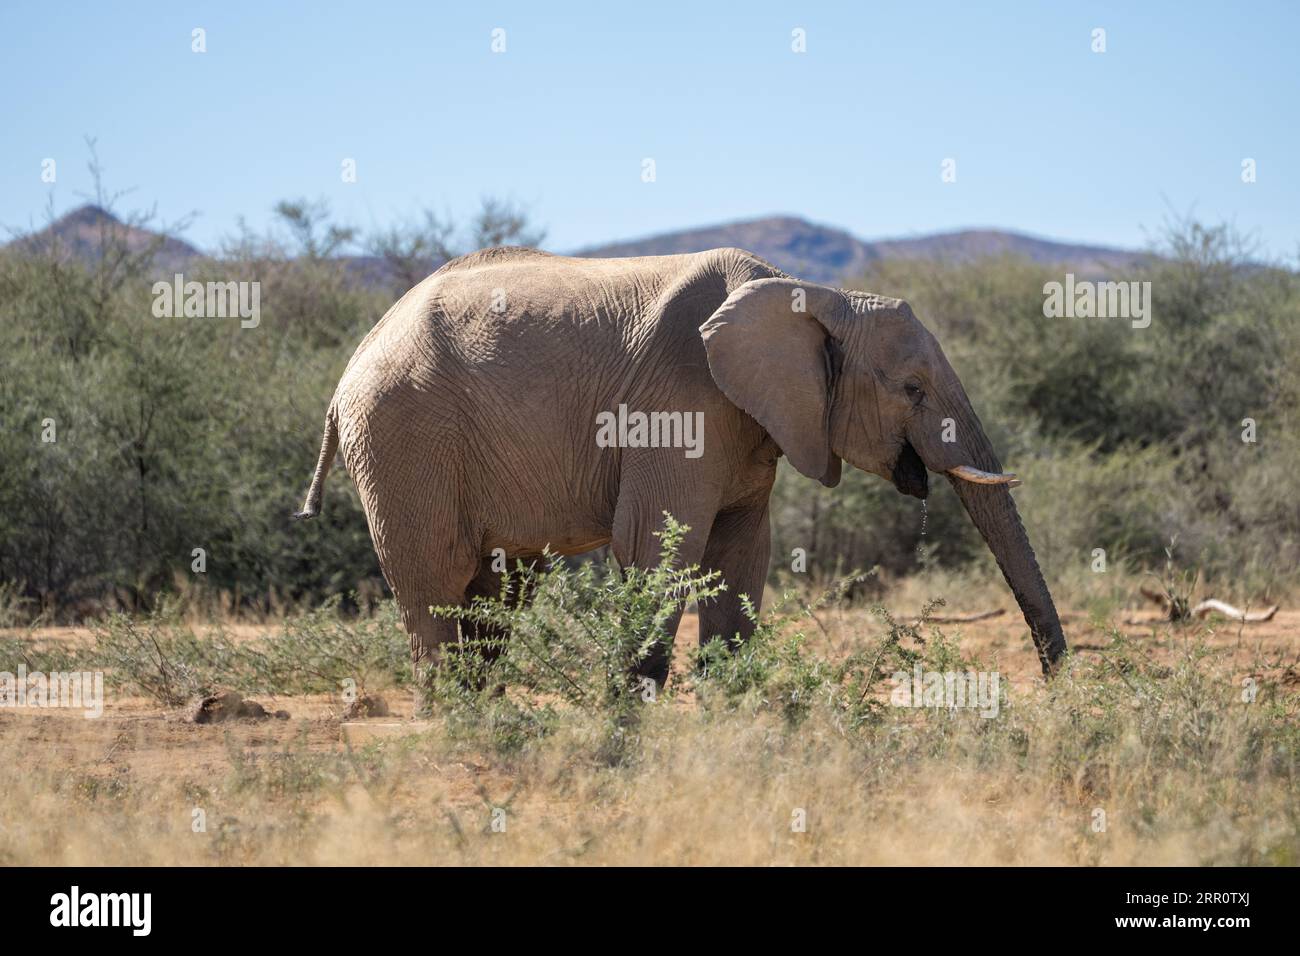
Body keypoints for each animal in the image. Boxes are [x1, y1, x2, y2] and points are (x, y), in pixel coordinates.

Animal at [296, 245, 1067, 683]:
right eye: (911, 389)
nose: (1055, 685)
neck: (809, 294)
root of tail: (349, 366)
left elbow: (743, 555)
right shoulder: (680, 400)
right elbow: (656, 545)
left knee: (495, 590)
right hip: (403, 435)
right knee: (436, 580)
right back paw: (455, 720)